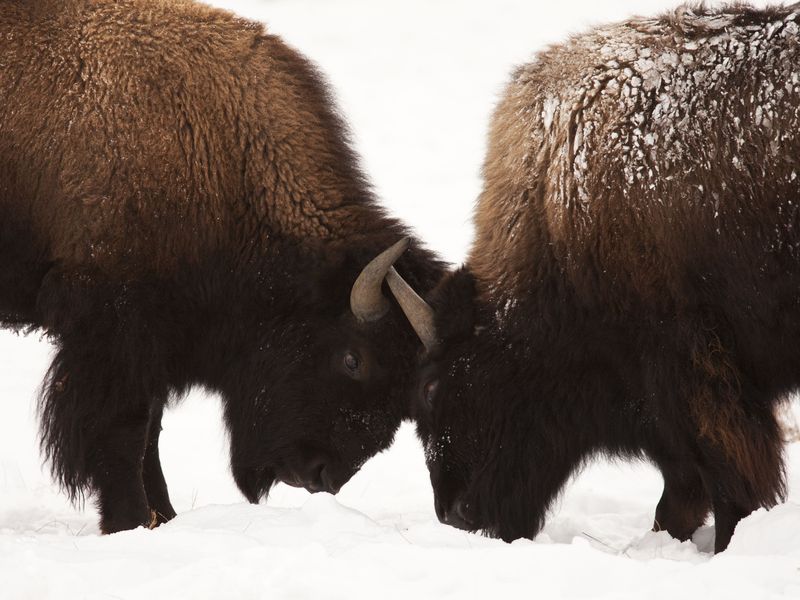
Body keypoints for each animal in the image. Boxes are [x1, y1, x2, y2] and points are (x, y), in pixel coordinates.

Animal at [0, 0, 443, 533]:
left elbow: (150, 430)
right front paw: (131, 520)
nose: (321, 474)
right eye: (353, 358)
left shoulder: (157, 338)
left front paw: (163, 517)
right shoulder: (115, 331)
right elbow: (125, 428)